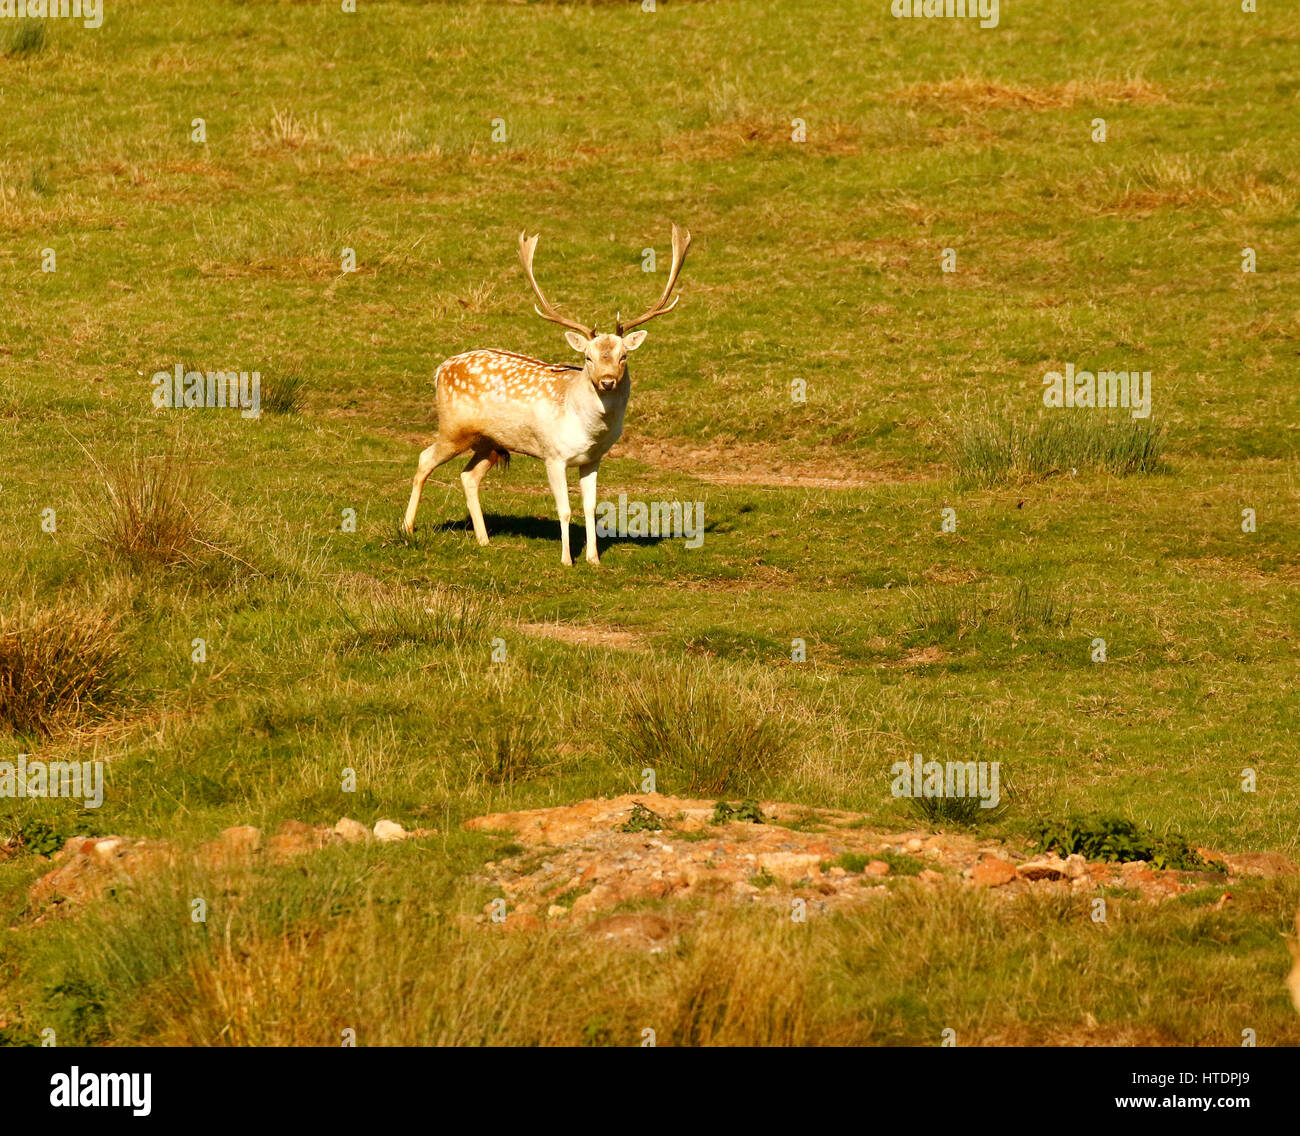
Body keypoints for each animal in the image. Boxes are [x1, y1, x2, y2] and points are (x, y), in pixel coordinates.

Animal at [401, 224, 691, 566]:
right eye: (588, 358)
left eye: (623, 357)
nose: (607, 381)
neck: (588, 428)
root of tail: (440, 369)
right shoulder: (553, 455)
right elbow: (564, 510)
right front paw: (567, 559)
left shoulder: (593, 459)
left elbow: (590, 507)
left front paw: (594, 559)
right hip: (454, 428)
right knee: (424, 459)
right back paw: (407, 529)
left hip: (491, 441)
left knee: (468, 476)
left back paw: (484, 540)